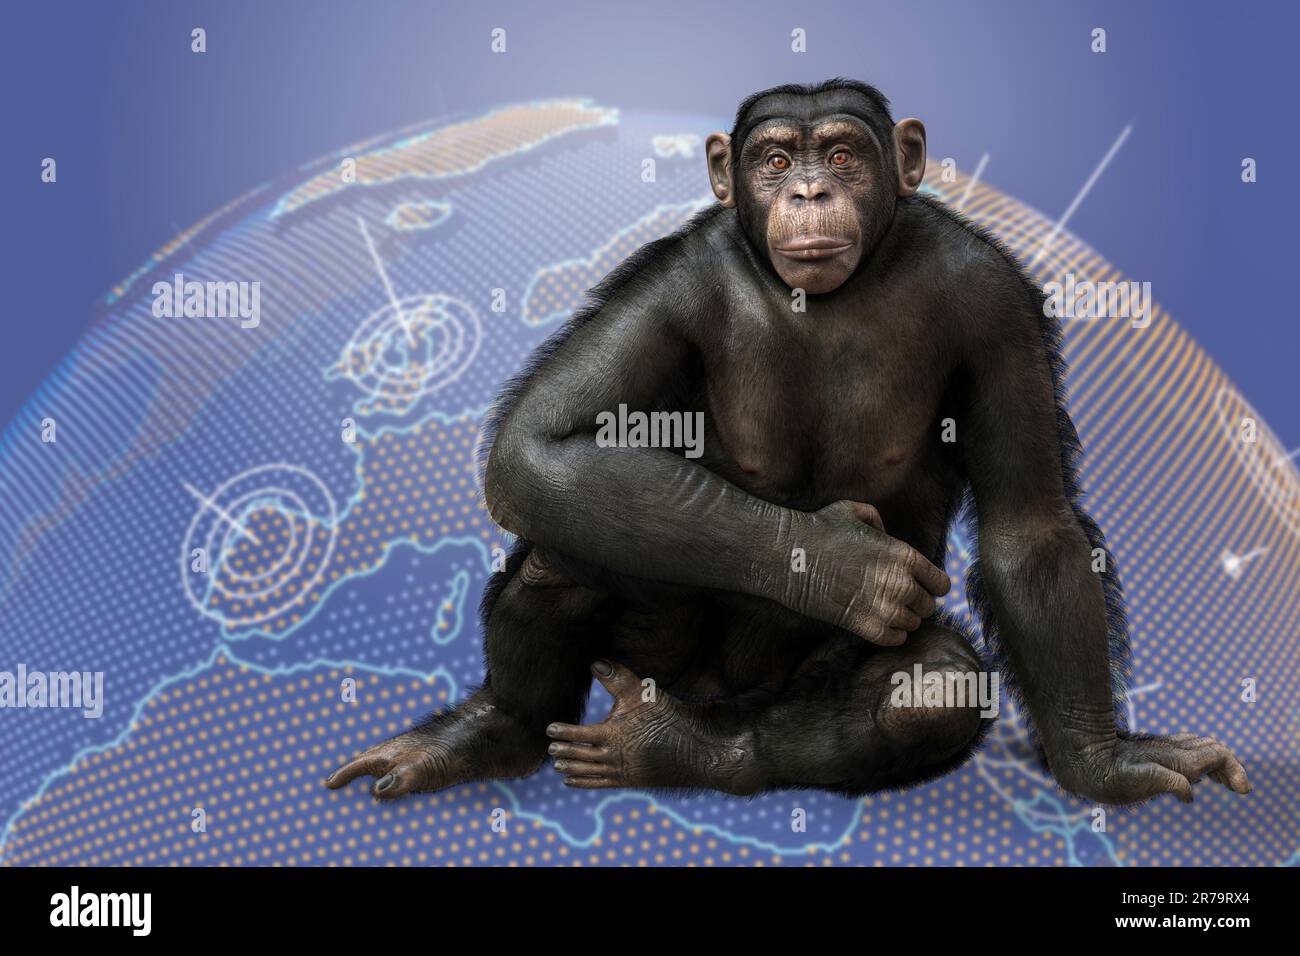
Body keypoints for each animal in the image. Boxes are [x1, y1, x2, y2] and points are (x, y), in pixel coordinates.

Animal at [327, 78, 1251, 804]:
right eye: (774, 161)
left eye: (841, 154)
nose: (808, 191)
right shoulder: (672, 281)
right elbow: (540, 445)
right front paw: (846, 564)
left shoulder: (998, 302)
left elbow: (1030, 528)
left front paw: (1101, 763)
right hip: (655, 653)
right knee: (563, 544)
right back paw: (494, 732)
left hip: (765, 694)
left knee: (932, 684)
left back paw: (681, 751)